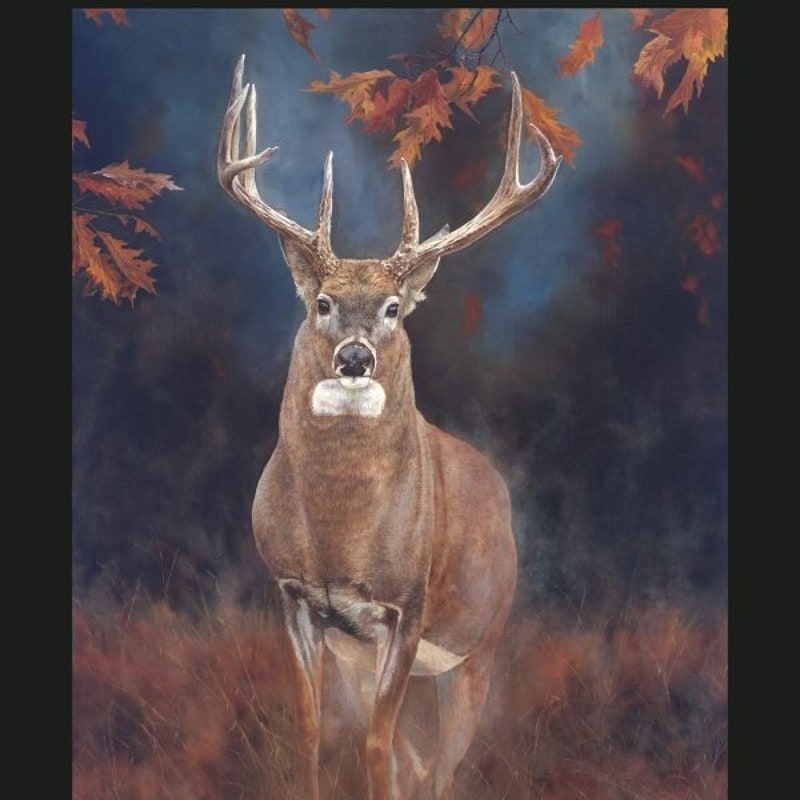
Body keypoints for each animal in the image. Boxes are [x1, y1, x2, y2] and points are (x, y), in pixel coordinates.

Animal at [218, 54, 561, 800]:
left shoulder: (407, 605)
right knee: (418, 760)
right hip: (363, 654)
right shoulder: (294, 595)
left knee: (442, 763)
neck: (338, 533)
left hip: (480, 644)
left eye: (395, 307)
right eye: (321, 302)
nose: (354, 357)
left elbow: (376, 749)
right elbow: (316, 732)